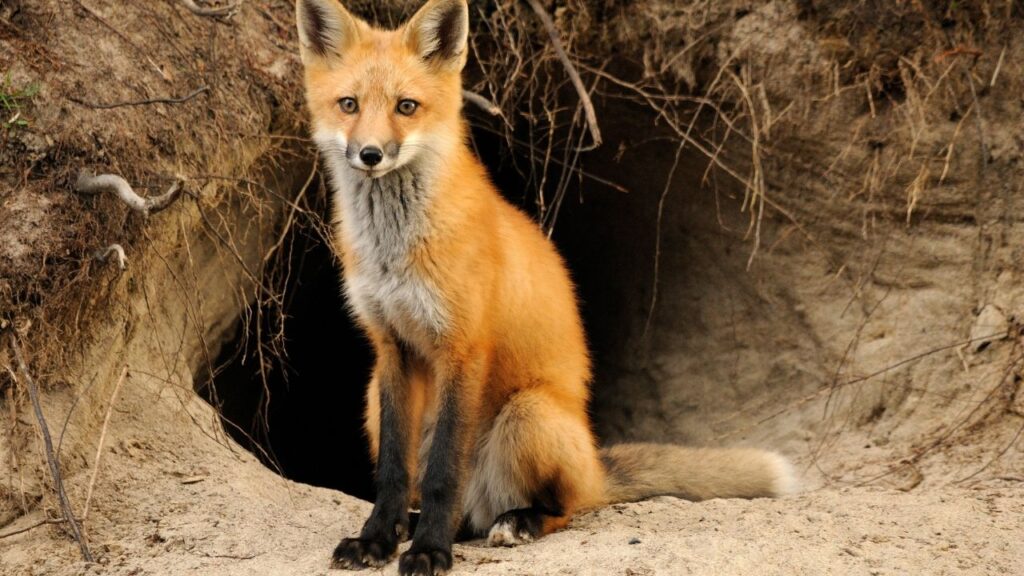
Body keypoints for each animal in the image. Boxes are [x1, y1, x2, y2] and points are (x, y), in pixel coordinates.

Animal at [294, 0, 795, 574]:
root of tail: (595, 463)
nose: (371, 154)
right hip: (373, 399)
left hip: (528, 414)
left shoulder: (464, 347)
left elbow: (443, 473)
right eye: (348, 104)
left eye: (406, 106)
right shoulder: (392, 348)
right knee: (462, 508)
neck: (395, 253)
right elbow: (395, 473)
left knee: (563, 507)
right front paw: (378, 539)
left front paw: (428, 552)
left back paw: (517, 522)